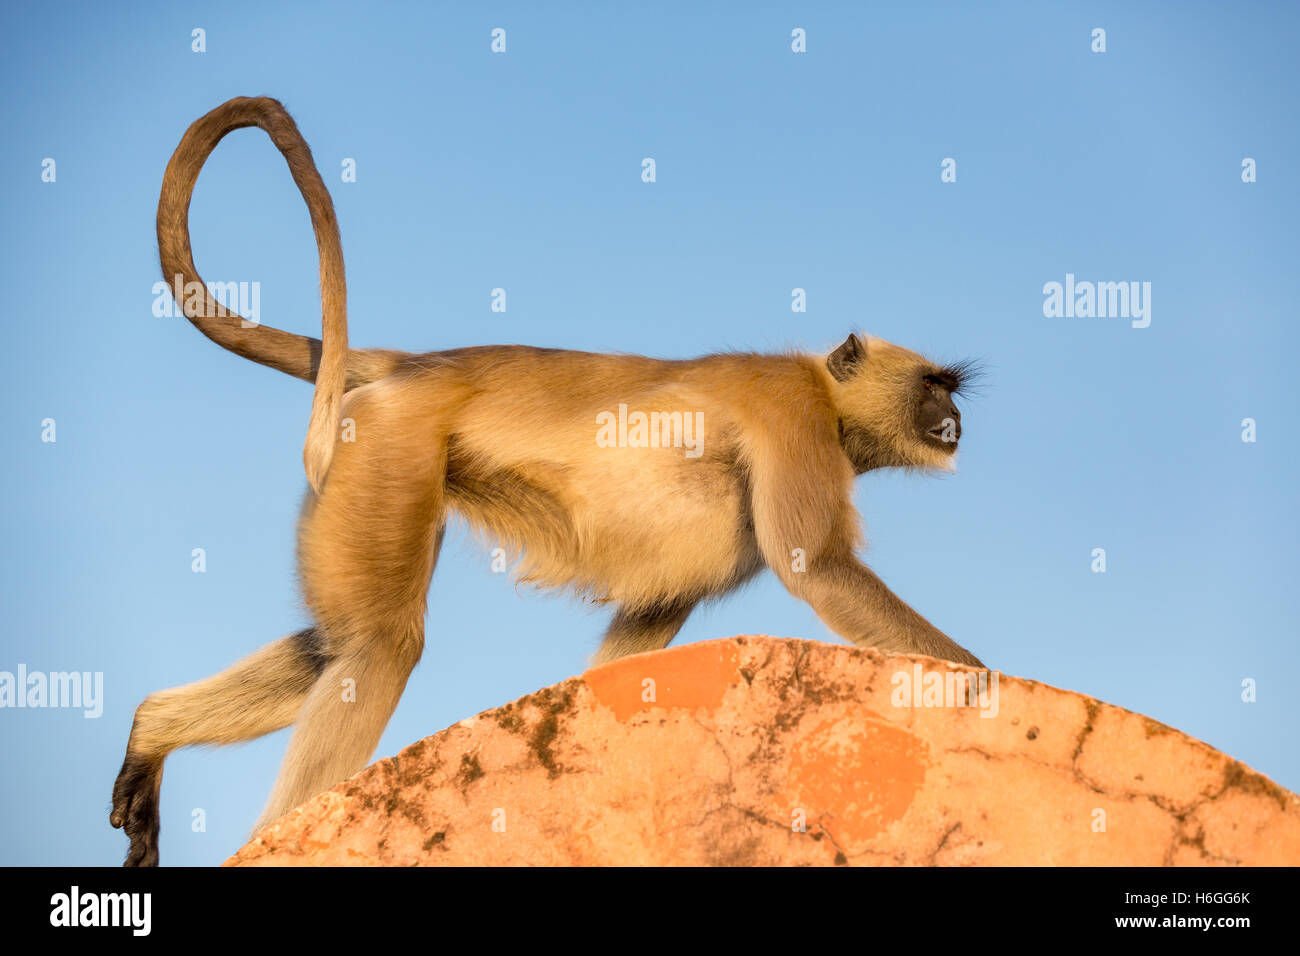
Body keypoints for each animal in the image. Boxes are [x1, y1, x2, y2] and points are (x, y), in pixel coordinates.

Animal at [111, 96, 985, 866]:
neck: (824, 396)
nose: (954, 418)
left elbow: (628, 654)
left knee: (333, 644)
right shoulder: (793, 415)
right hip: (391, 448)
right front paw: (978, 684)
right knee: (377, 648)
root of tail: (416, 368)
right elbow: (820, 569)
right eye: (933, 386)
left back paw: (152, 731)